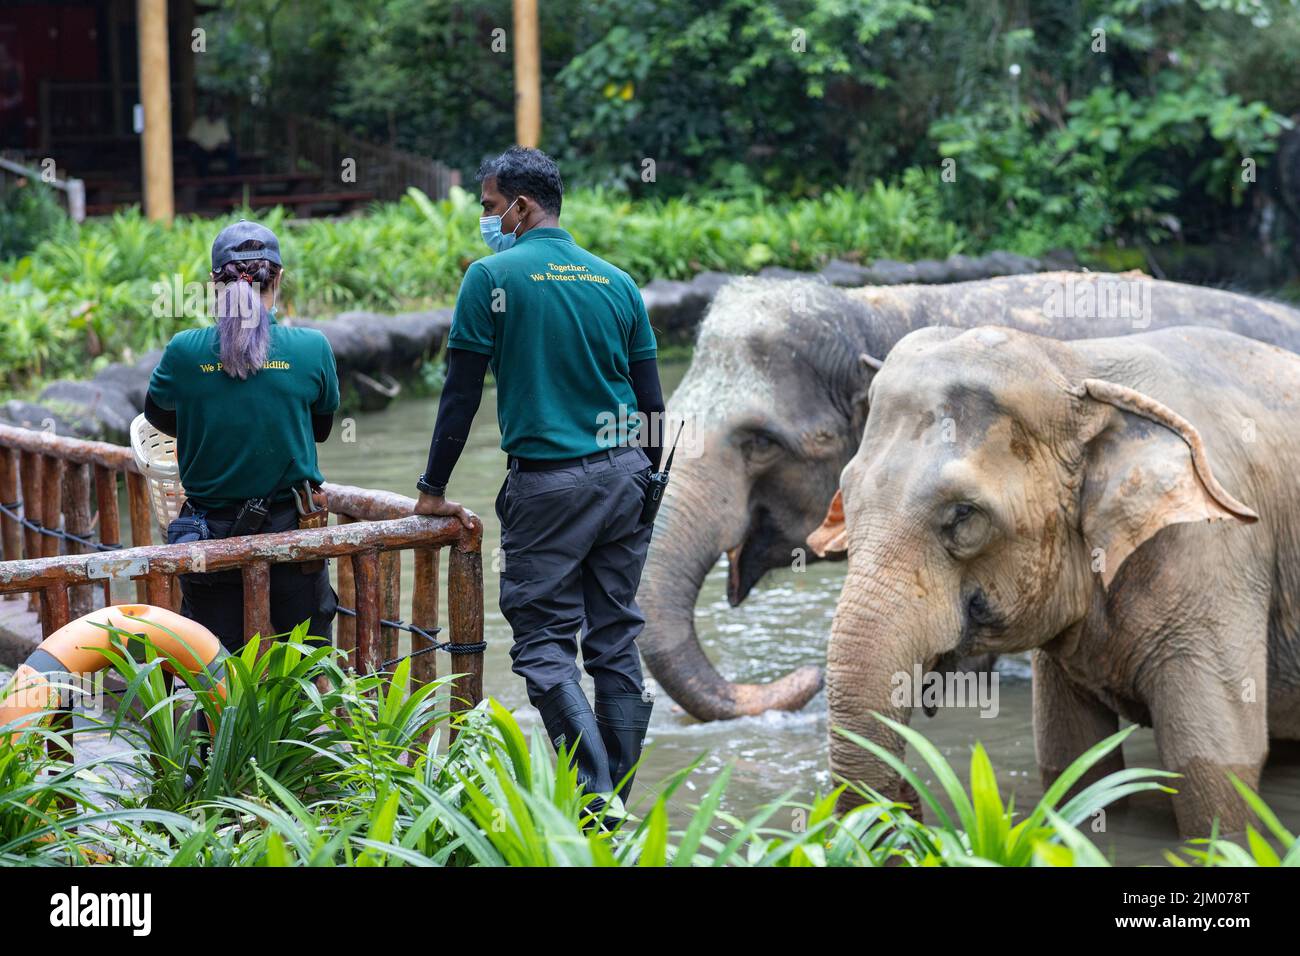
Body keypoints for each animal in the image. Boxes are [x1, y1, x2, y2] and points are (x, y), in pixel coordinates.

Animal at [808, 323, 1300, 836]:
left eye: (963, 514)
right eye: (846, 495)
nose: (910, 801)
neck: (1078, 366)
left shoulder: (1214, 559)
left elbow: (1216, 773)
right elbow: (1075, 765)